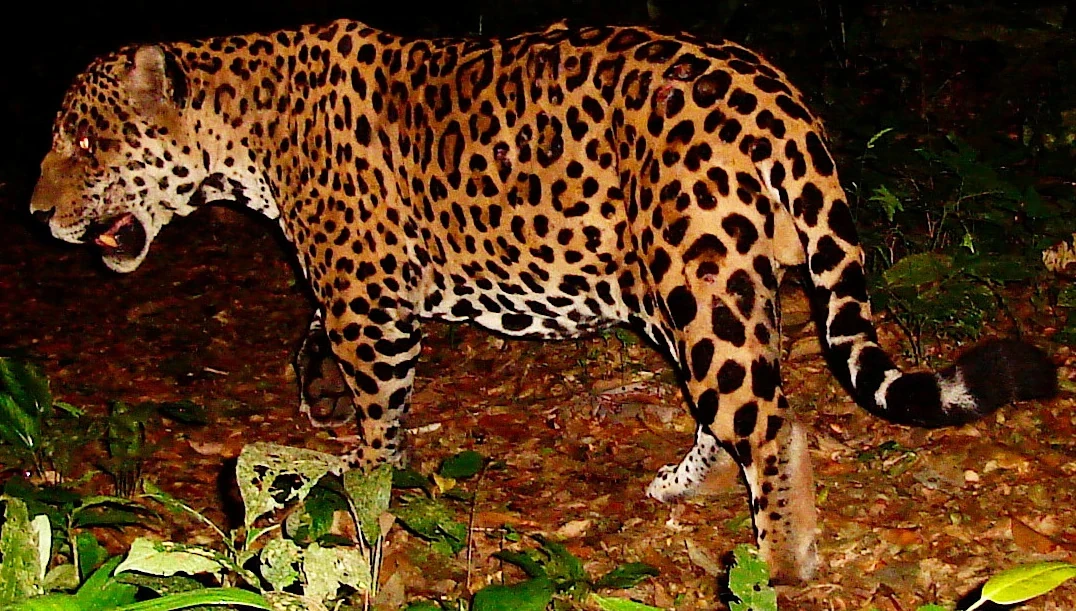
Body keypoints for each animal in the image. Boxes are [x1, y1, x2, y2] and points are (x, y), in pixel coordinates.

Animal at [30, 18, 1058, 583]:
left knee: (772, 422)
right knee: (740, 405)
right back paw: (690, 482)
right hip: (709, 283)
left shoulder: (369, 308)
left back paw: (782, 561)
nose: (38, 215)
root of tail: (778, 97)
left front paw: (362, 495)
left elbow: (377, 425)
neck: (243, 132)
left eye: (84, 144)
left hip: (696, 286)